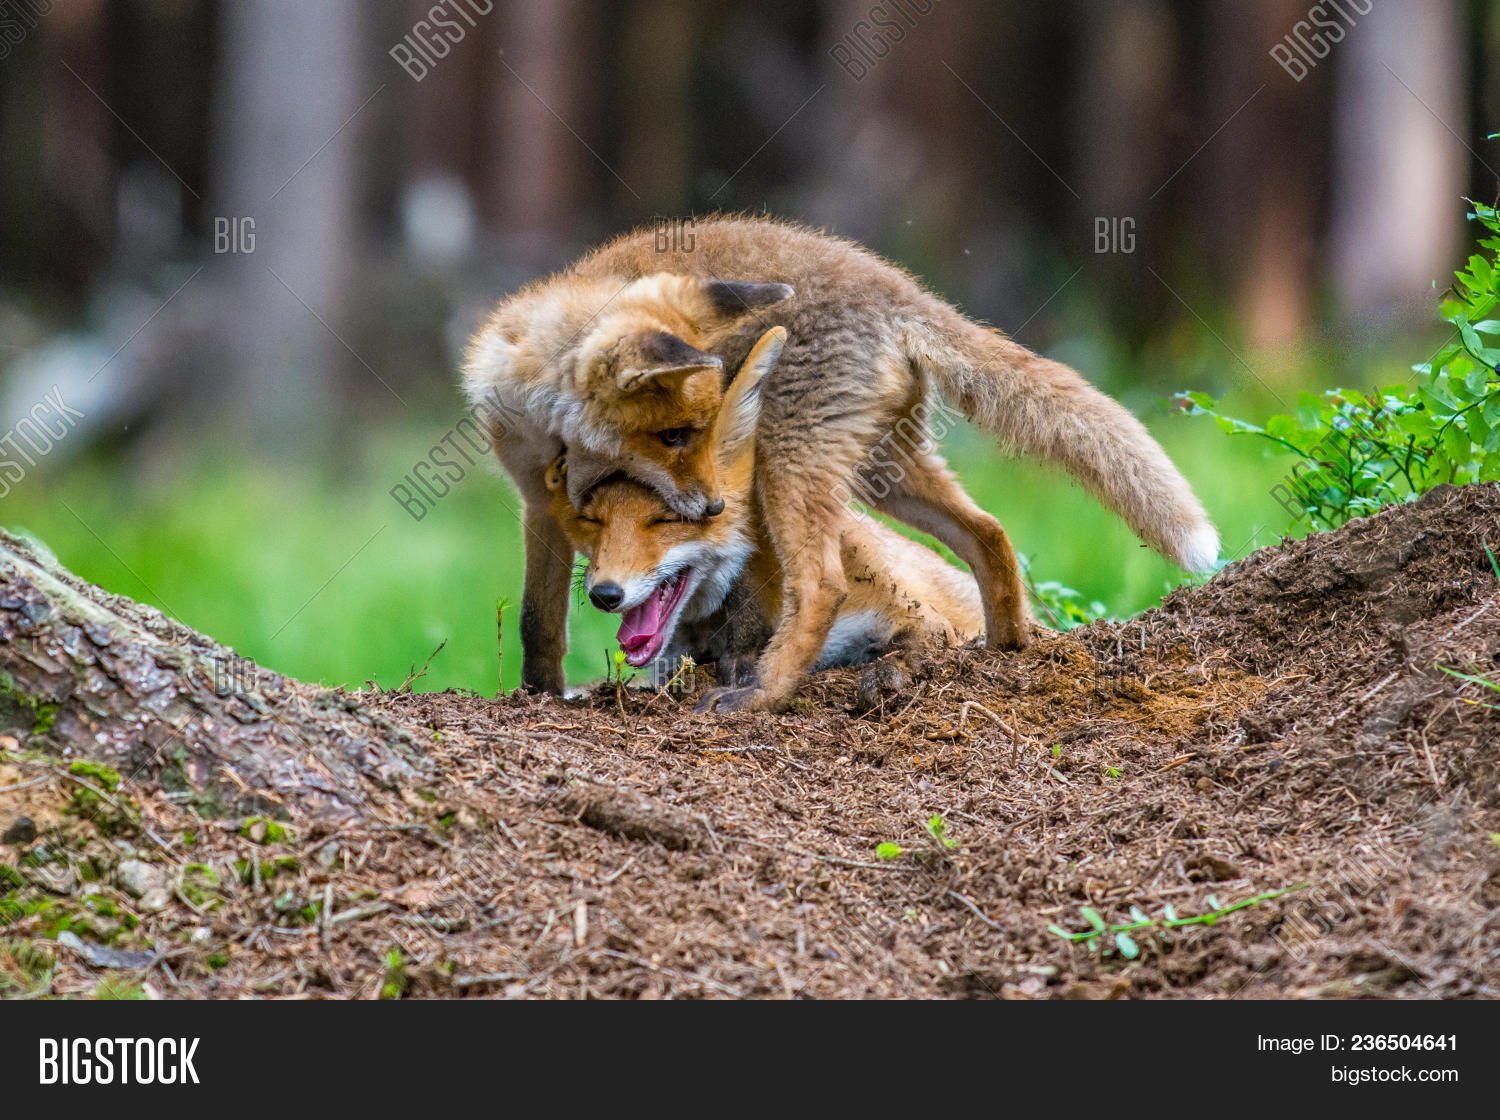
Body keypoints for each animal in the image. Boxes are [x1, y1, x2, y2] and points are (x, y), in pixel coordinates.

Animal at [547, 327, 983, 697]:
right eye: (591, 520)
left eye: (667, 520)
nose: (605, 594)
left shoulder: (910, 615)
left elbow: (914, 644)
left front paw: (886, 674)